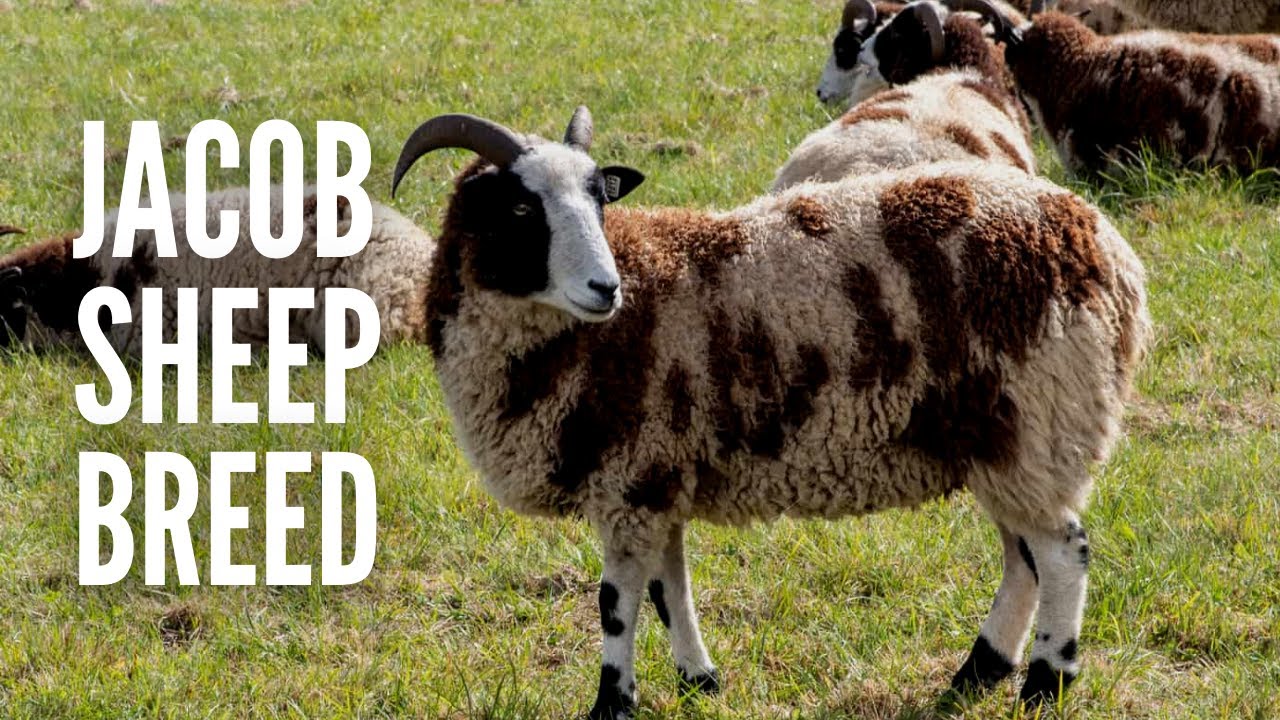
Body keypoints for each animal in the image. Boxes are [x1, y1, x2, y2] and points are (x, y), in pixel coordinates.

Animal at [392, 106, 1150, 719]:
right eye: (521, 211)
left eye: (598, 202)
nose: (606, 287)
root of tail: (1107, 249)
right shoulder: (660, 473)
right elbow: (670, 588)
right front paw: (699, 681)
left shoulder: (630, 478)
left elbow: (615, 605)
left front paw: (613, 702)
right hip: (997, 440)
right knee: (1022, 559)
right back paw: (977, 673)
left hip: (1037, 421)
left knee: (1062, 553)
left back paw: (1046, 683)